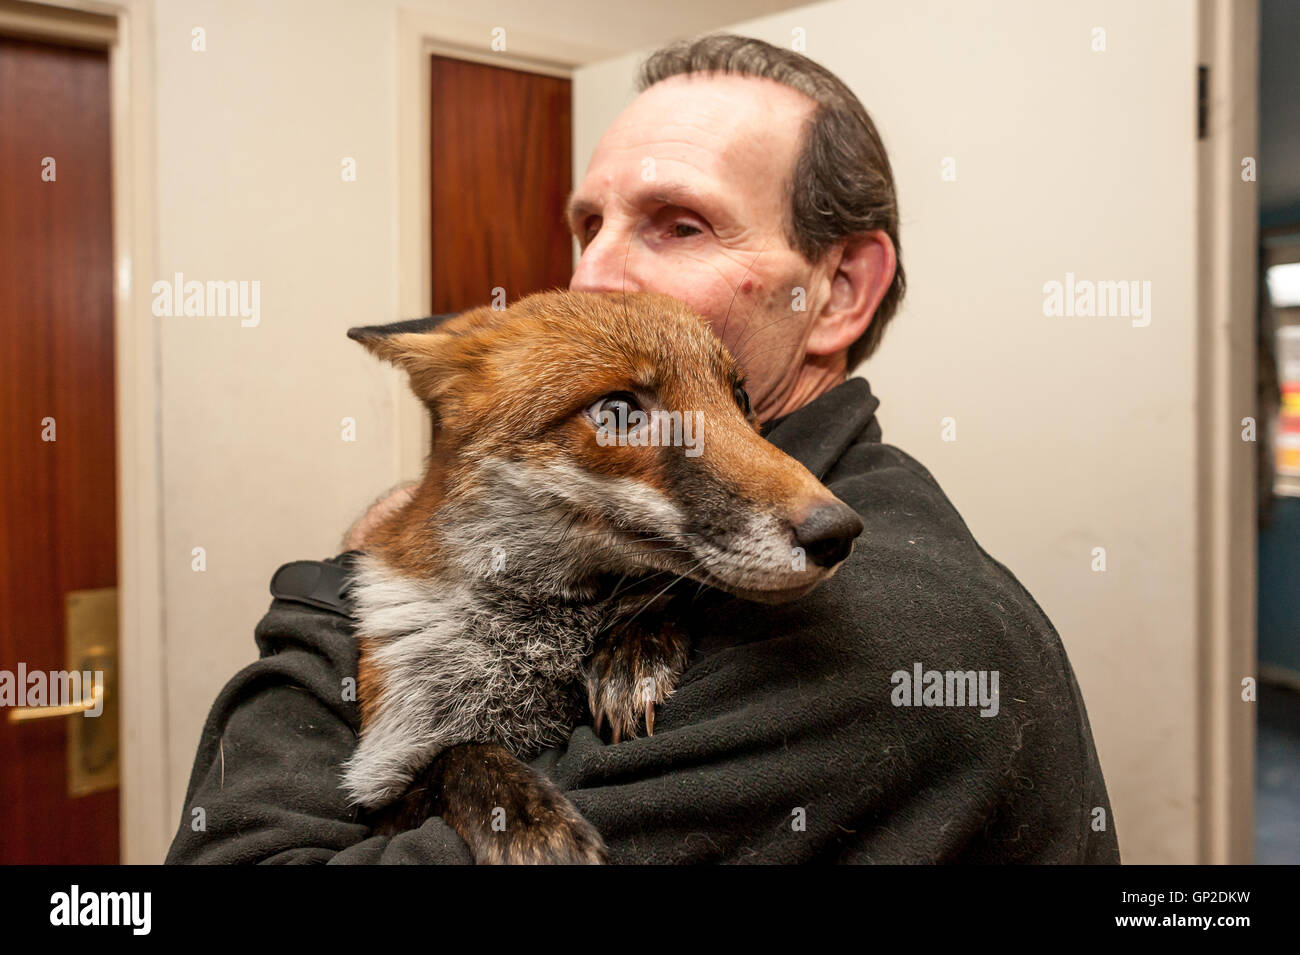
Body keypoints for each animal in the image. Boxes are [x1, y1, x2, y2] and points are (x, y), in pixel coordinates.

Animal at [339, 289, 863, 864]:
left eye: (741, 397)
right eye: (617, 412)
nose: (840, 531)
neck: (537, 633)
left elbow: (667, 588)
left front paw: (633, 649)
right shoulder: (387, 779)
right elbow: (459, 758)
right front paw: (530, 823)